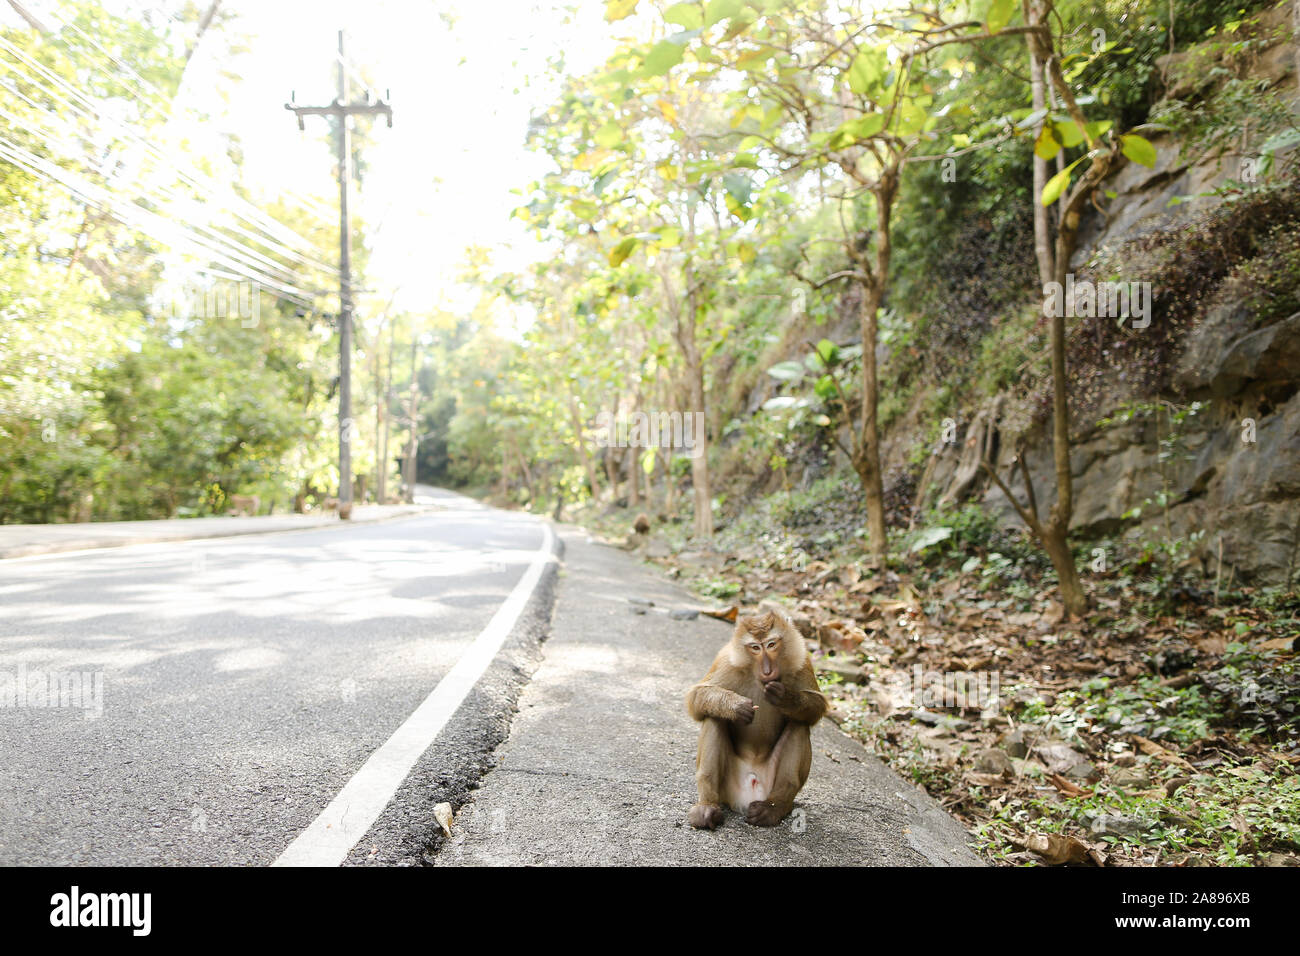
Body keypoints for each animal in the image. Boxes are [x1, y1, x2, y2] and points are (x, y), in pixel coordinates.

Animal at [685, 608, 827, 829]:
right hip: (727, 788)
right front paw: (735, 706)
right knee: (714, 717)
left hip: (770, 784)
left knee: (799, 724)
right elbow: (696, 698)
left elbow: (817, 704)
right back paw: (707, 807)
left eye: (771, 644)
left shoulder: (803, 660)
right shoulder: (725, 661)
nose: (767, 670)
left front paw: (785, 698)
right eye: (755, 648)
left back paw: (774, 807)